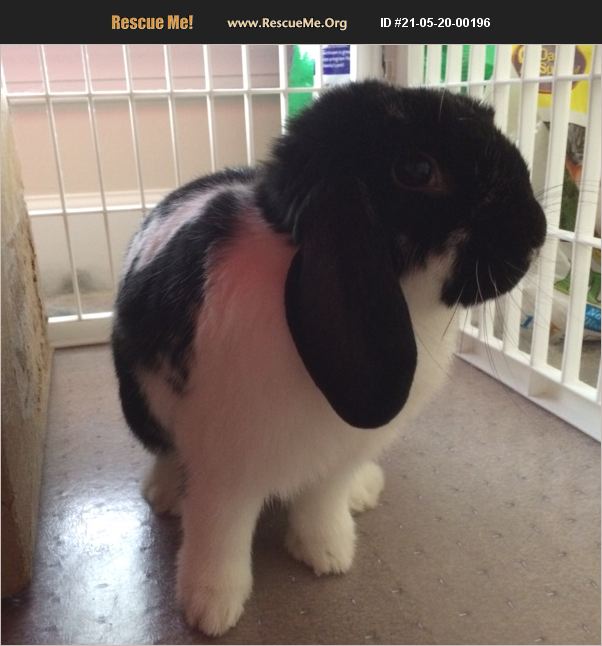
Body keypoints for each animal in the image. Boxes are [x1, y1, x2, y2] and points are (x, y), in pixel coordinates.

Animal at [111, 80, 546, 636]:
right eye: (417, 169)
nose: (537, 232)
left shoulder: (339, 455)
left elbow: (323, 504)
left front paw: (328, 554)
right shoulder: (224, 471)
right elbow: (219, 534)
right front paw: (211, 609)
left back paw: (365, 490)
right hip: (141, 405)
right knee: (165, 453)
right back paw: (164, 494)